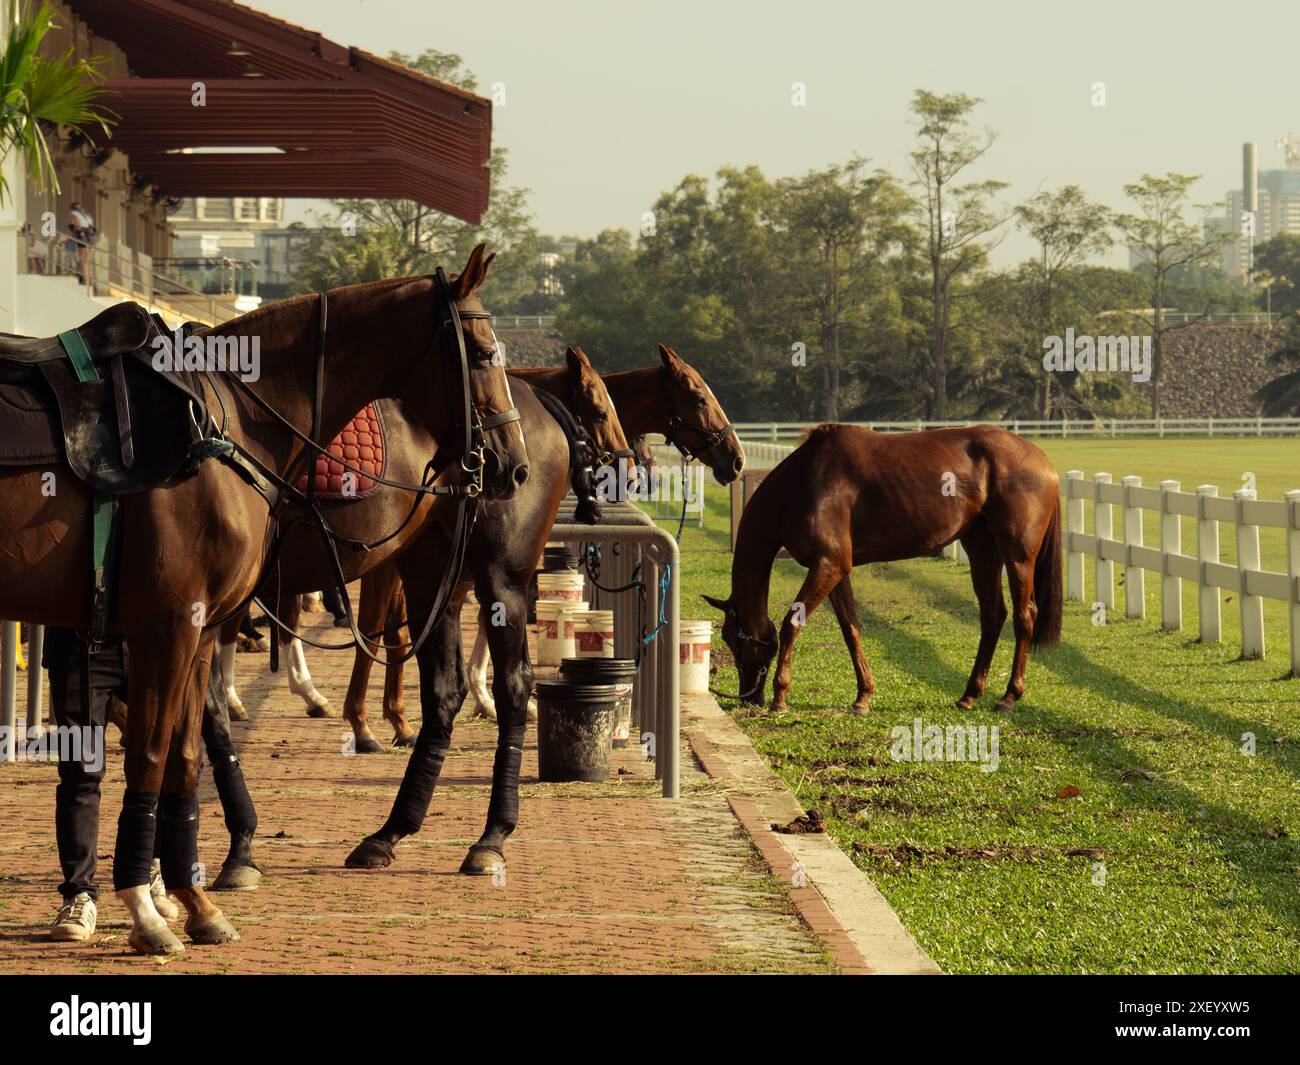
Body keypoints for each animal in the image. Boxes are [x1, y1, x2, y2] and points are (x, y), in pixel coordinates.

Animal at [0, 244, 528, 954]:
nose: (512, 463)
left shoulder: (193, 629)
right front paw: (154, 905)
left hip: (477, 574)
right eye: (479, 350)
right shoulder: (173, 624)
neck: (219, 429)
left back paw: (474, 836)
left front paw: (188, 898)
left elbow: (182, 756)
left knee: (500, 687)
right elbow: (157, 752)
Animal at [703, 423, 1062, 713]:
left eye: (734, 640)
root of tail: (1043, 460)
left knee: (1024, 615)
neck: (802, 483)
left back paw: (1009, 696)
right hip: (982, 550)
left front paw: (780, 696)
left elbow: (792, 623)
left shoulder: (827, 565)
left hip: (1018, 555)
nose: (749, 698)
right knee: (992, 615)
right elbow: (851, 630)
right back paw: (969, 695)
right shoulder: (836, 571)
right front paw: (863, 696)